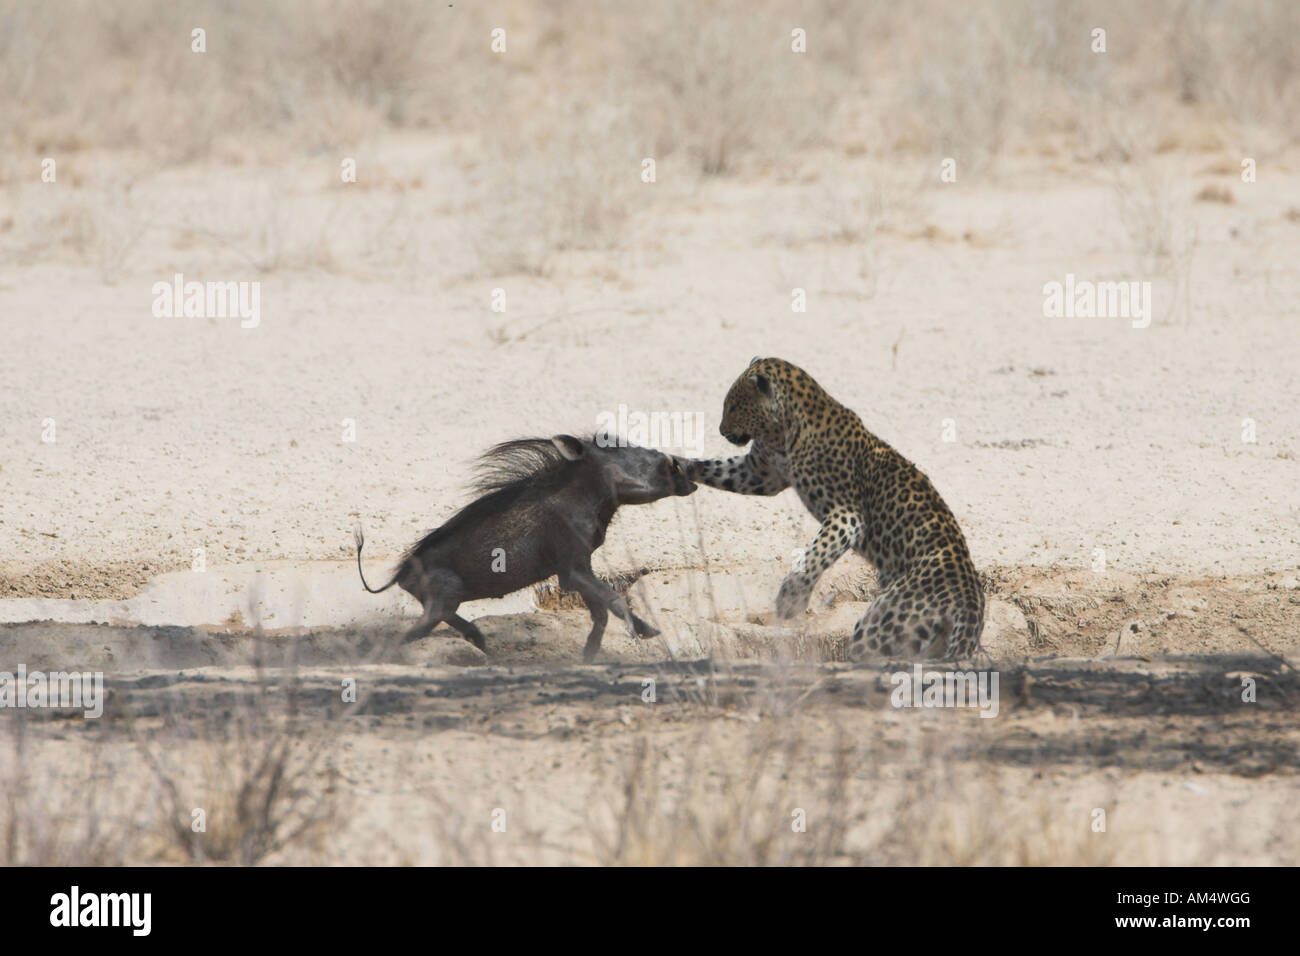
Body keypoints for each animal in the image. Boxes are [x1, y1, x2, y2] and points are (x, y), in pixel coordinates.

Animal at [684, 357, 984, 660]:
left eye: (733, 406)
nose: (722, 430)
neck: (782, 431)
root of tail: (969, 601)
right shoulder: (759, 473)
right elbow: (715, 468)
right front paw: (678, 466)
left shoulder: (847, 514)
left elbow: (817, 553)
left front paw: (791, 597)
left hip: (881, 621)